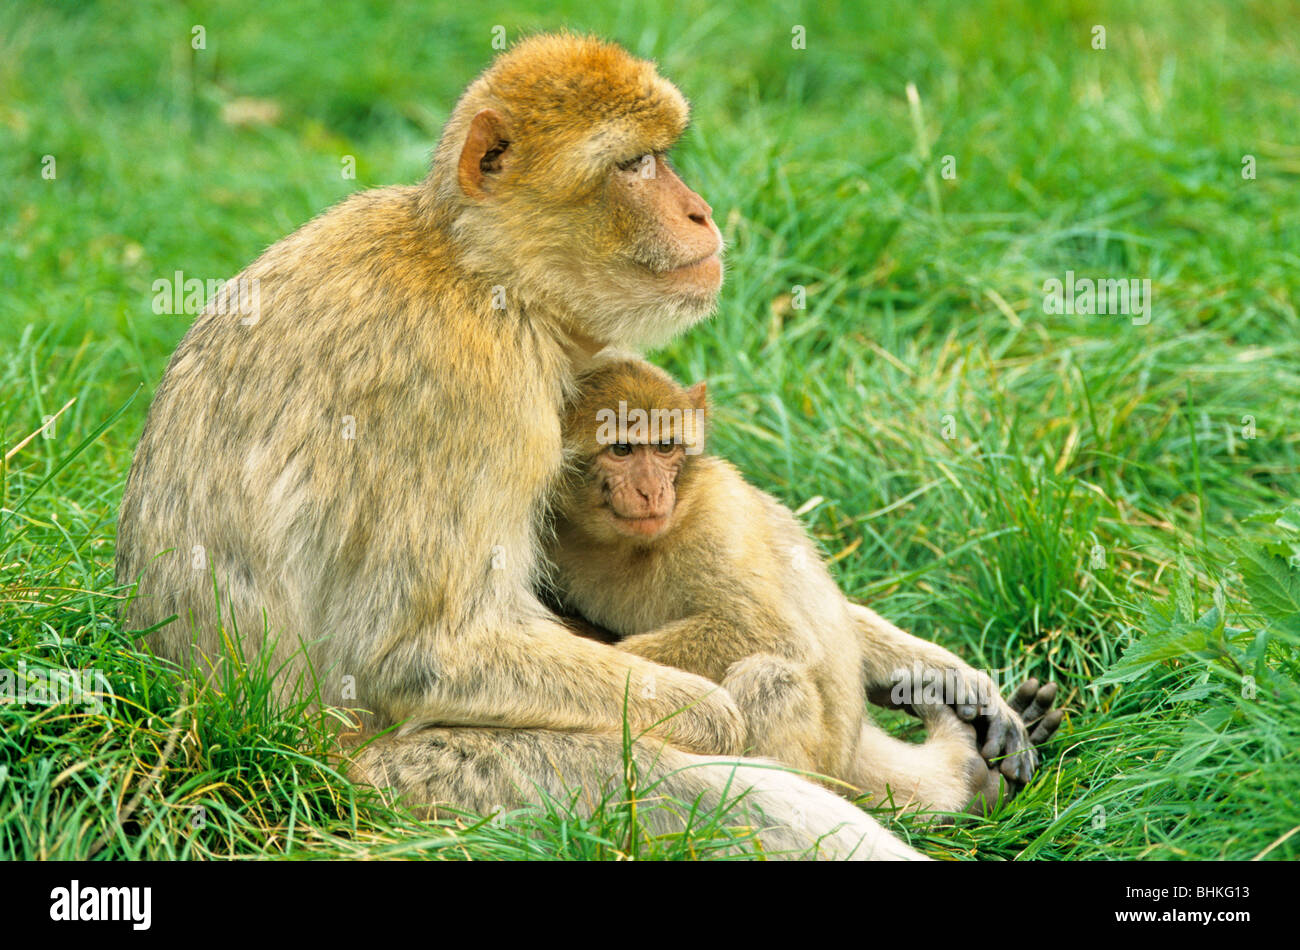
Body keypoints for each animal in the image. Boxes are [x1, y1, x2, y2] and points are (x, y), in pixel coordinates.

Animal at [116, 32, 935, 859]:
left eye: (661, 156)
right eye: (634, 165)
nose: (700, 213)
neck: (480, 275)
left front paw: (922, 665)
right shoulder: (480, 396)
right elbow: (419, 656)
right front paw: (714, 714)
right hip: (405, 785)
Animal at [542, 358, 1064, 814]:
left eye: (665, 446)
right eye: (622, 450)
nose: (652, 491)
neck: (622, 545)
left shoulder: (715, 518)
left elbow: (767, 632)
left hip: (825, 758)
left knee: (770, 678)